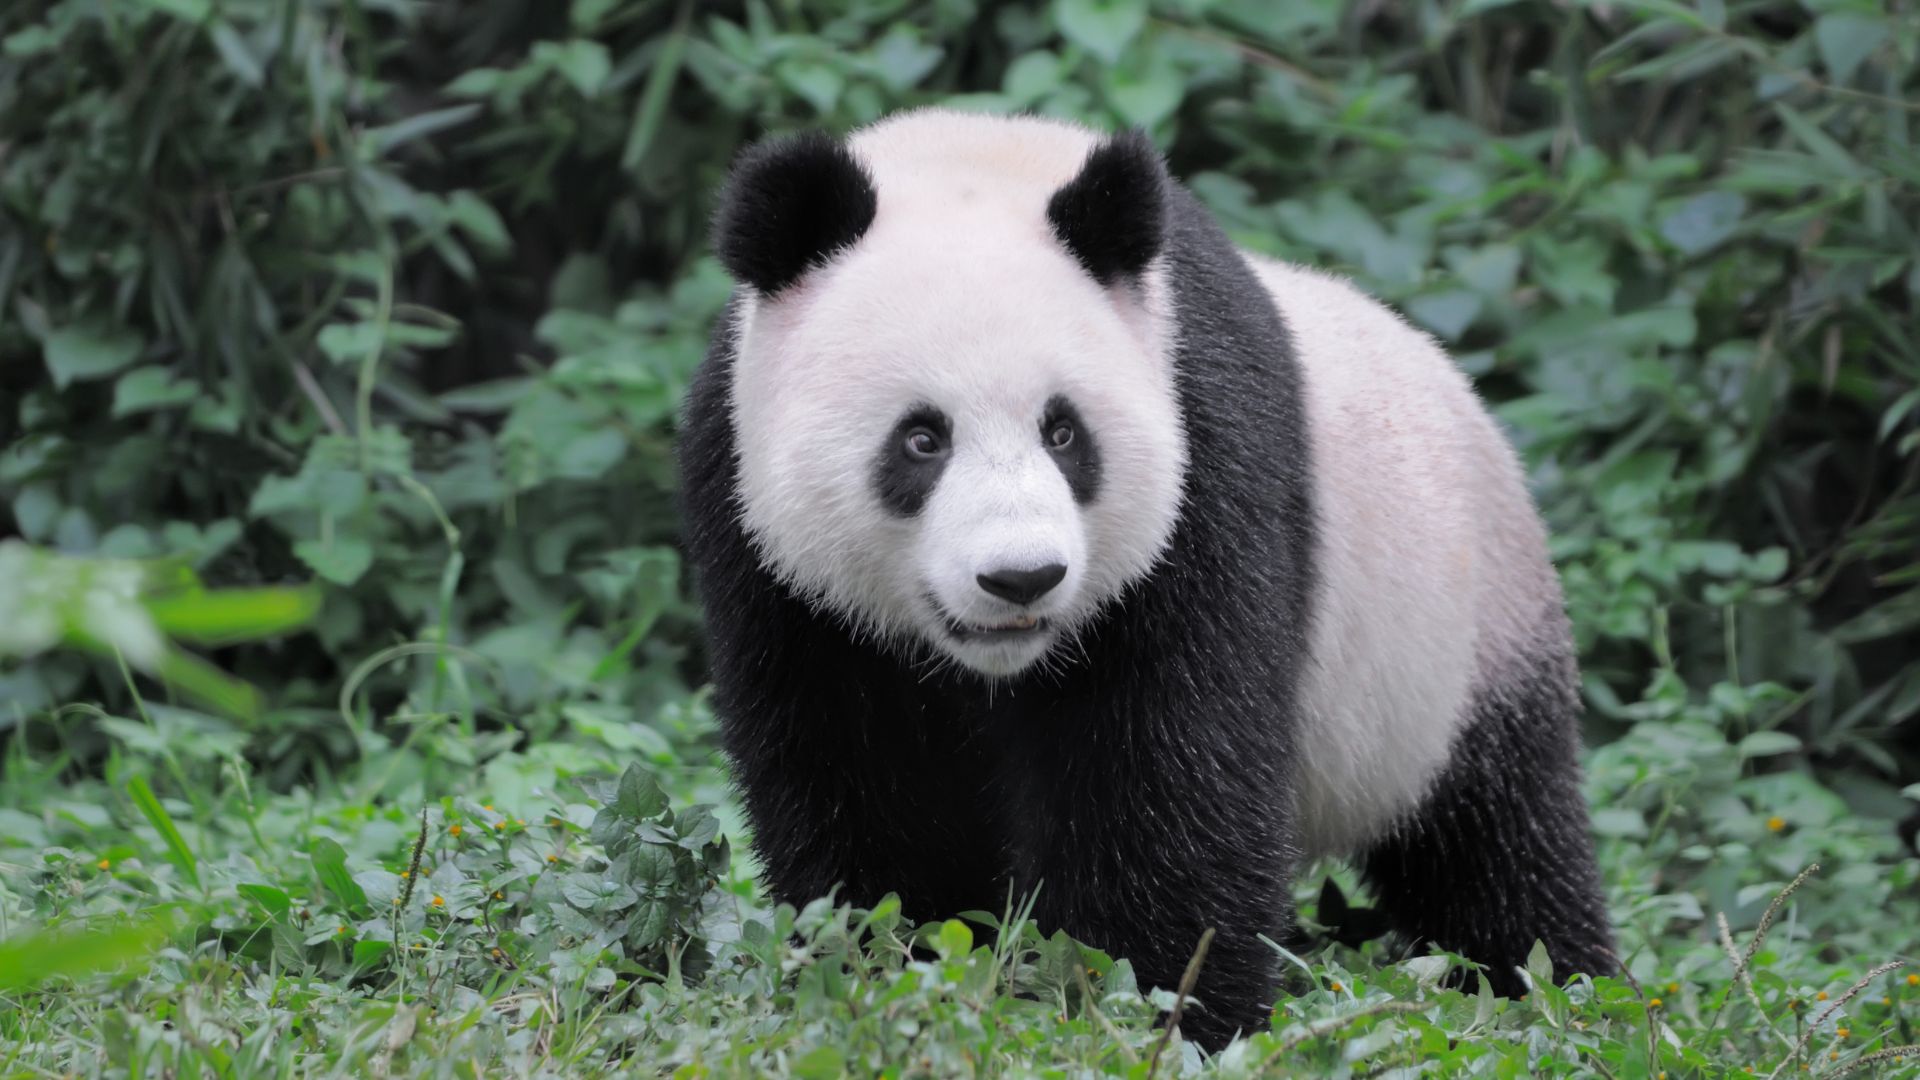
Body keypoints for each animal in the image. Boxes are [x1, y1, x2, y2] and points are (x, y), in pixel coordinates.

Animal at [679, 108, 1615, 1049]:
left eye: (1063, 432)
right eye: (921, 439)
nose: (1022, 578)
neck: (967, 164)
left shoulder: (1207, 458)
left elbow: (1173, 772)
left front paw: (1157, 1009)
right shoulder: (760, 536)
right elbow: (858, 779)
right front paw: (889, 973)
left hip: (1460, 632)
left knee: (1495, 839)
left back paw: (1555, 986)